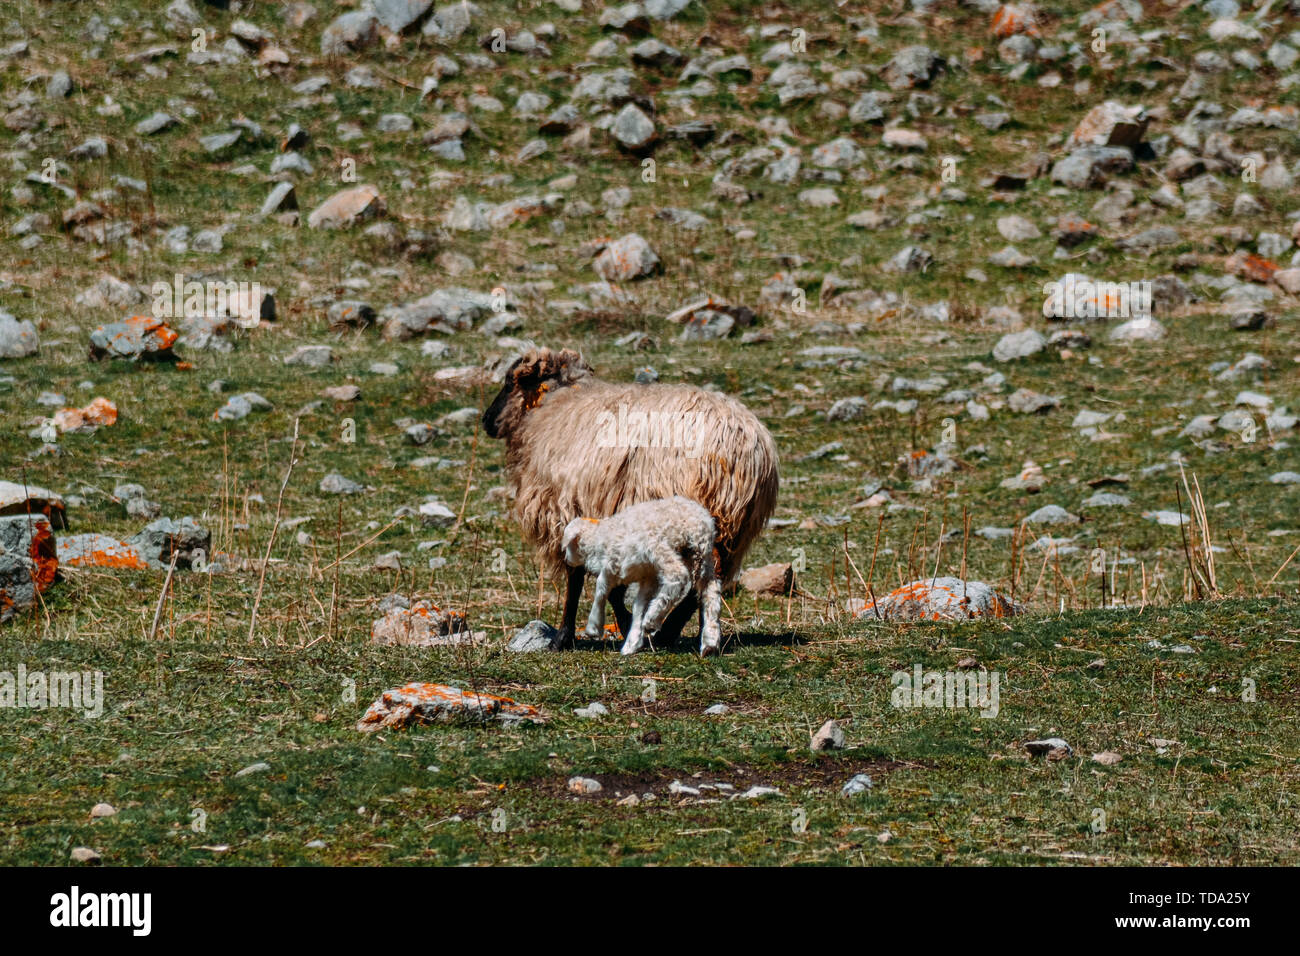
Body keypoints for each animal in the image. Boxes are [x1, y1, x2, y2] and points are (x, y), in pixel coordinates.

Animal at [561, 496, 723, 656]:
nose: (567, 561)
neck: (598, 537)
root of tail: (699, 523)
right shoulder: (648, 577)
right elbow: (639, 605)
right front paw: (632, 642)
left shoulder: (612, 563)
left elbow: (601, 589)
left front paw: (593, 627)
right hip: (701, 558)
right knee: (711, 590)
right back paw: (710, 642)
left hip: (658, 547)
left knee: (677, 575)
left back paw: (652, 619)